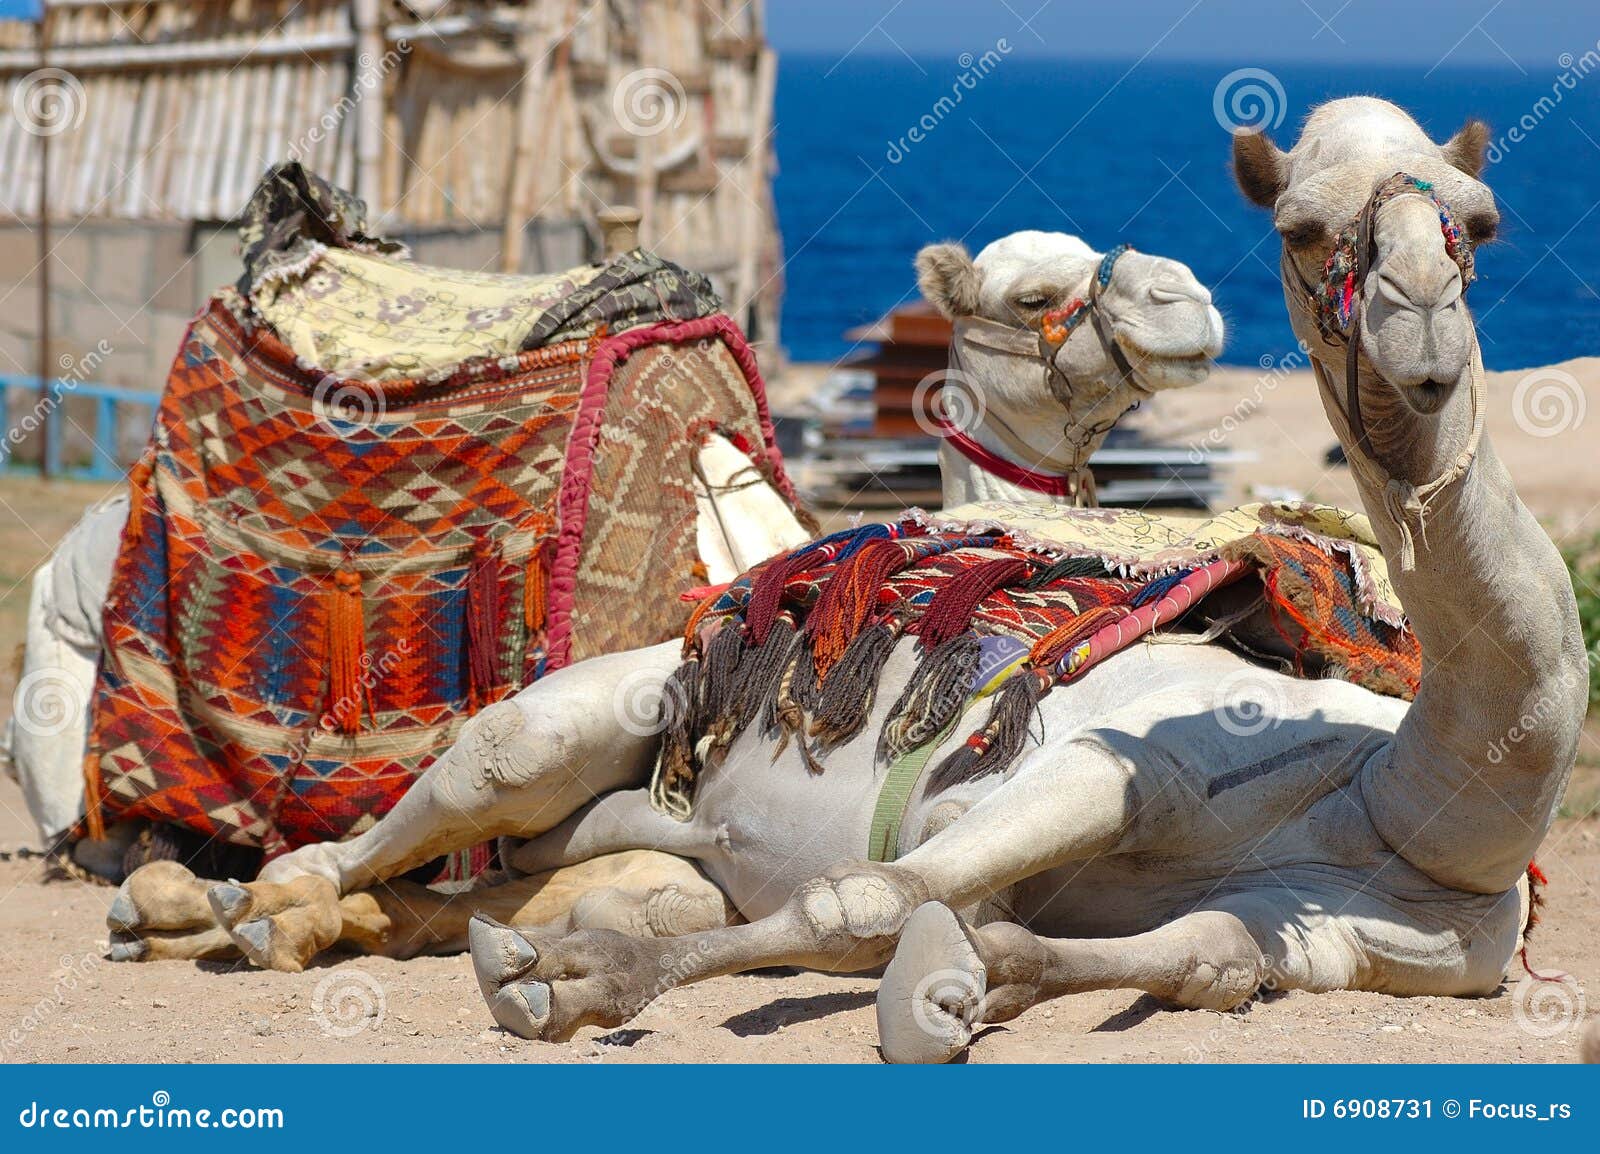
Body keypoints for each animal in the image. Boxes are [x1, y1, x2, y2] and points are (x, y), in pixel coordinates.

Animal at [97, 230, 1225, 966]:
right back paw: (223, 904)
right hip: (529, 739)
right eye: (1033, 296)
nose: (1190, 297)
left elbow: (647, 903)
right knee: (372, 831)